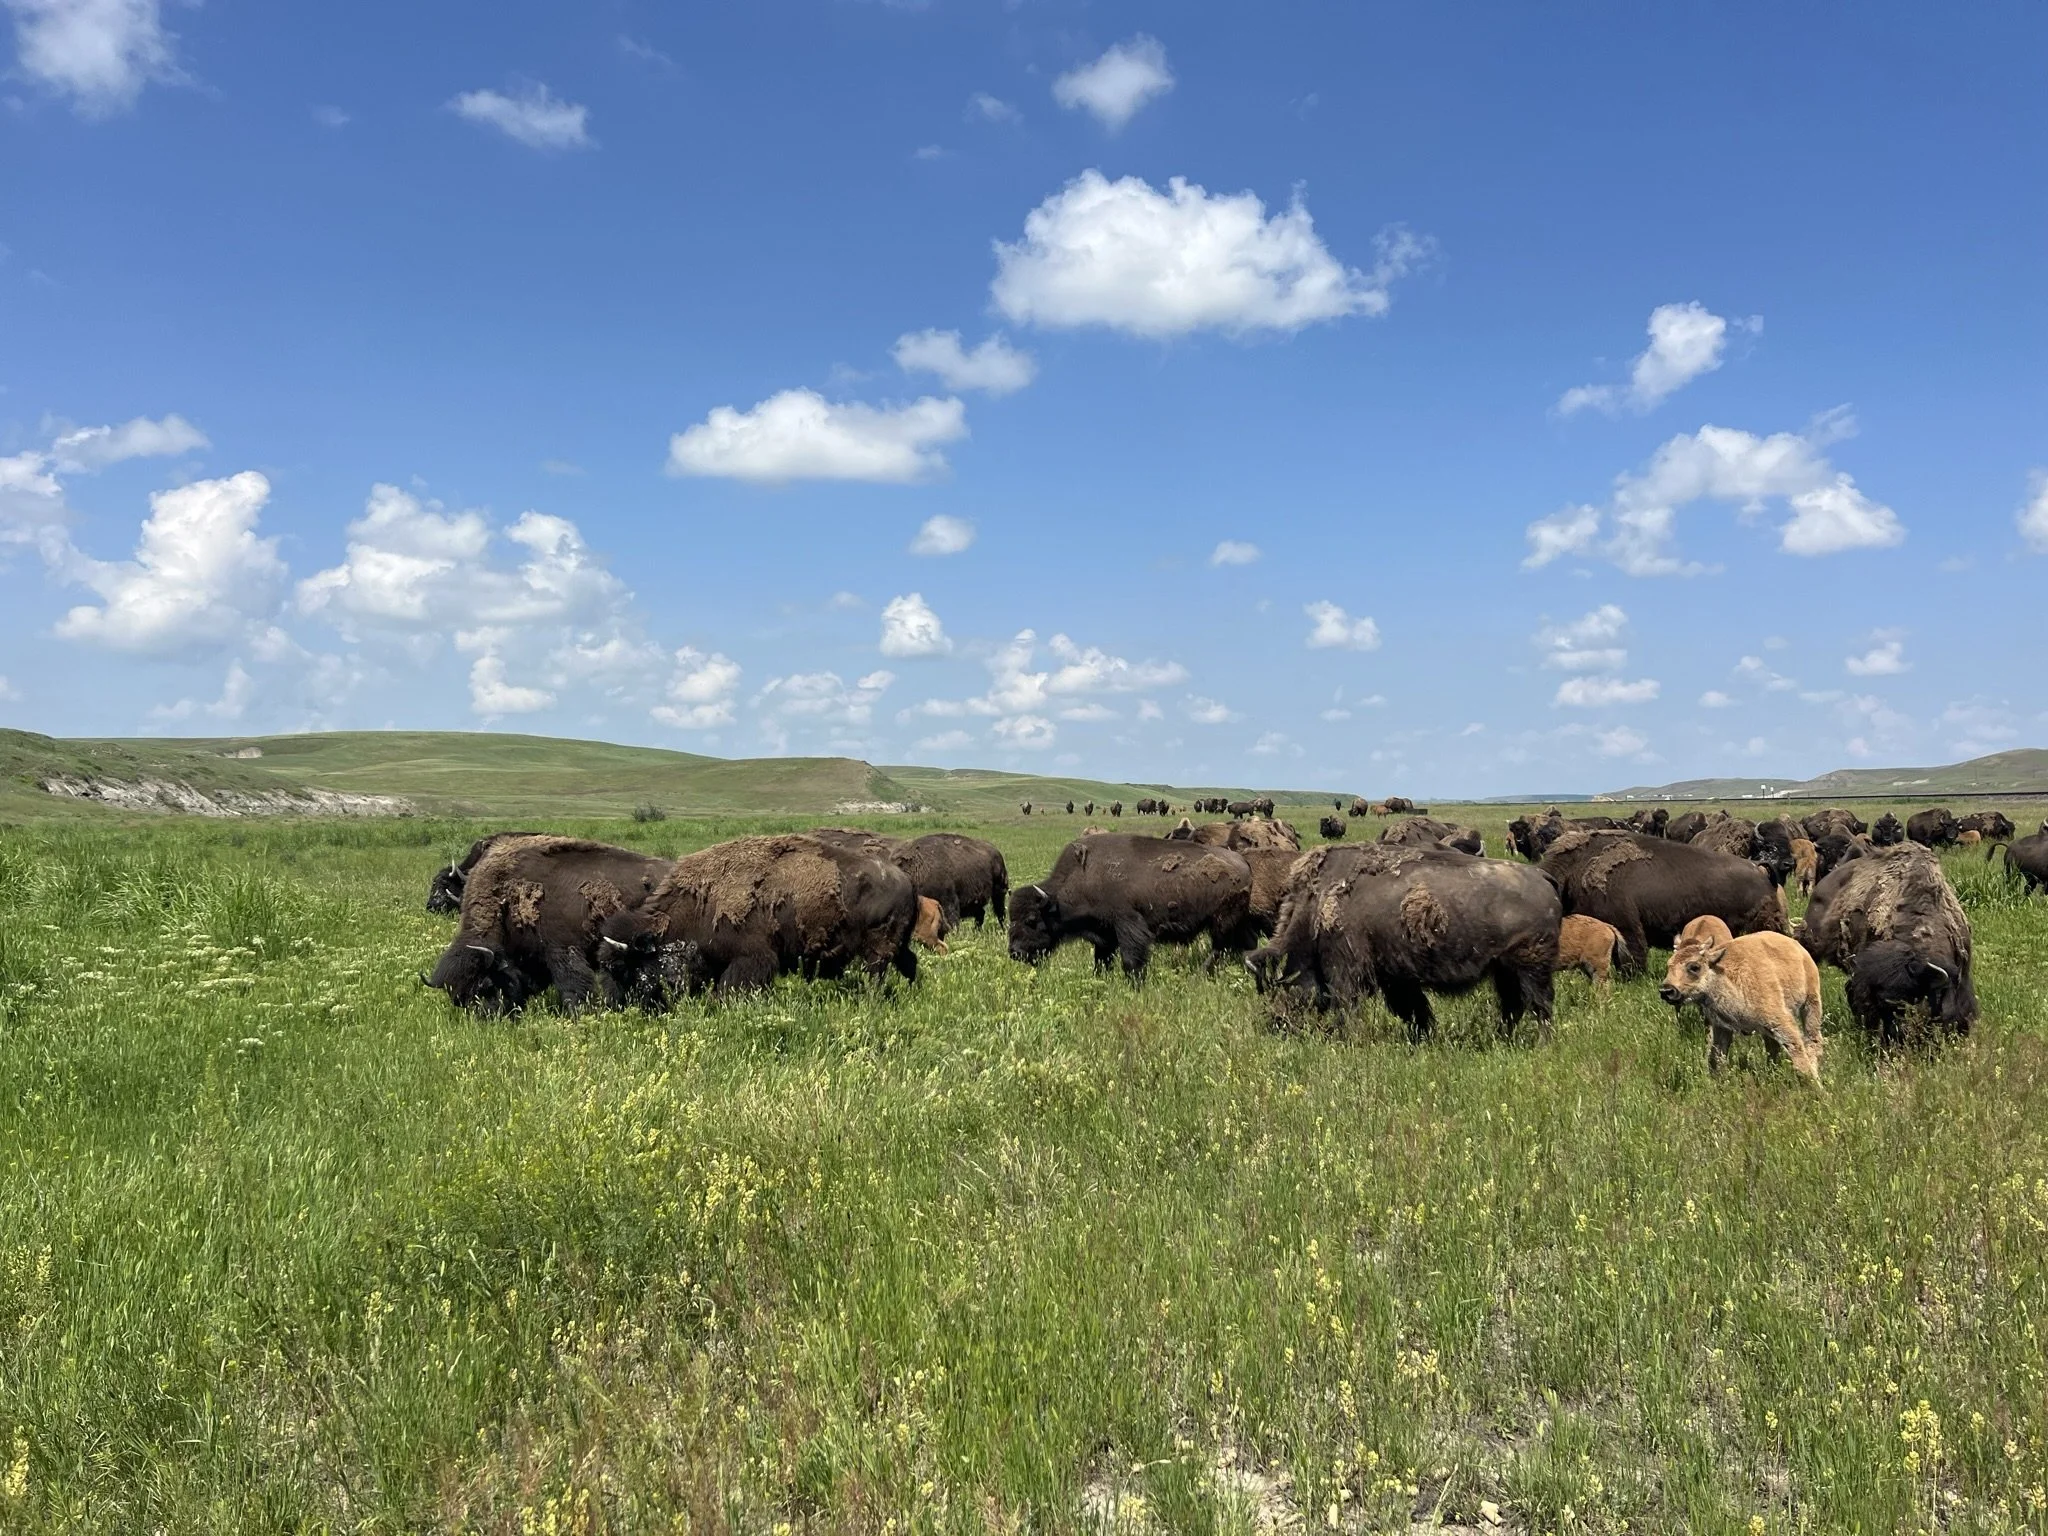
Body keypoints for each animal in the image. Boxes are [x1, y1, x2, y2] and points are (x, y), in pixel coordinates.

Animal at [1008, 833, 1255, 979]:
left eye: (1031, 920)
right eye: (1011, 919)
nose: (1014, 952)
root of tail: (1243, 862)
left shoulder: (1128, 926)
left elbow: (1130, 960)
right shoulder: (1104, 934)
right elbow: (1101, 960)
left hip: (1221, 922)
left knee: (1219, 948)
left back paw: (1200, 975)